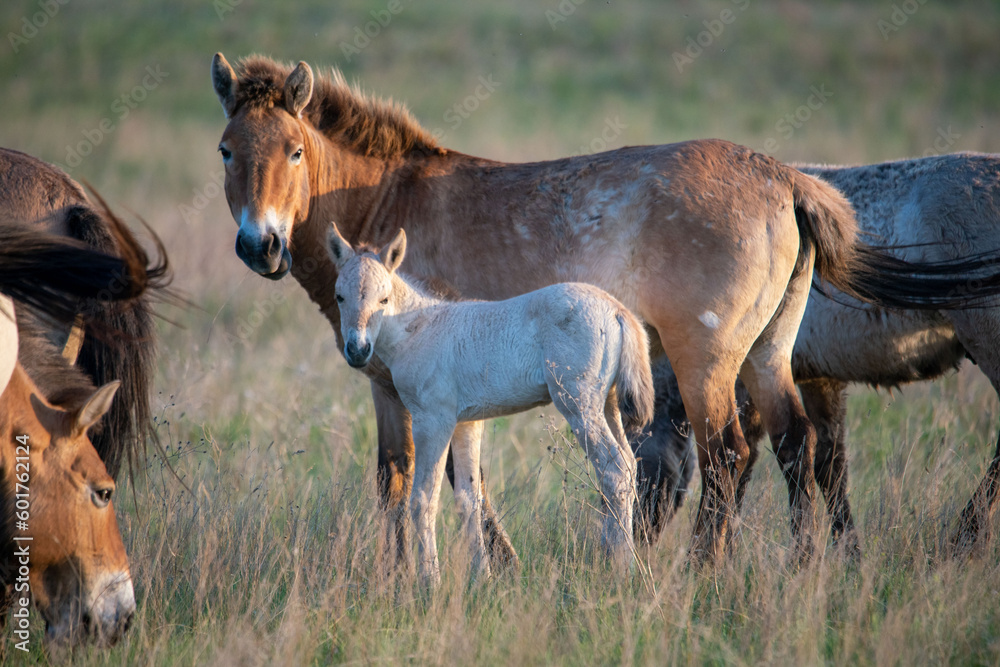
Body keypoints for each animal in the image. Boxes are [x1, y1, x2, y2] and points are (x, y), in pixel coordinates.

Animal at [328, 223, 653, 580]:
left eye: (383, 298)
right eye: (339, 296)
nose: (357, 350)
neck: (418, 328)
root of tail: (618, 310)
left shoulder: (433, 419)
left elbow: (424, 499)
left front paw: (429, 581)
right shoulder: (466, 423)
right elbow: (468, 497)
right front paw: (480, 579)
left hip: (579, 405)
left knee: (613, 470)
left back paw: (620, 568)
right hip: (608, 404)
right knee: (628, 465)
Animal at [634, 152, 1000, 554]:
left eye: (636, 466)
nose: (637, 536)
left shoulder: (748, 381)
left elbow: (749, 462)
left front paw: (728, 550)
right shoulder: (819, 379)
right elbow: (830, 466)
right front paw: (847, 551)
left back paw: (964, 536)